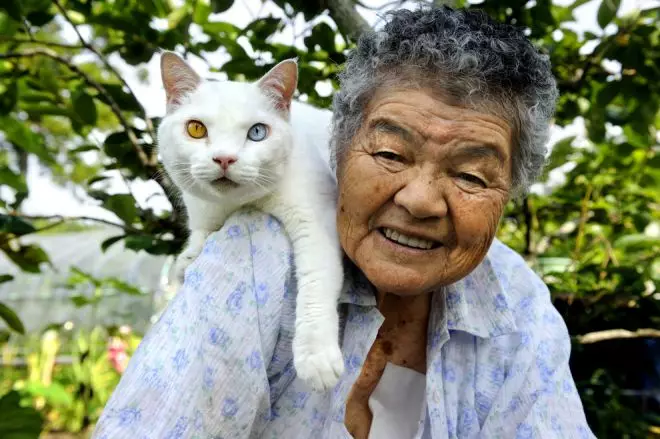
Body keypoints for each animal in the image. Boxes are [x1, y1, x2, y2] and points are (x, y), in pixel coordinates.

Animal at [158, 51, 346, 392]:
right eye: (196, 129)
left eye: (257, 132)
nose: (224, 158)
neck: (237, 204)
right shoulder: (202, 212)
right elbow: (200, 233)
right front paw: (187, 258)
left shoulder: (316, 221)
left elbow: (316, 282)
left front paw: (316, 358)